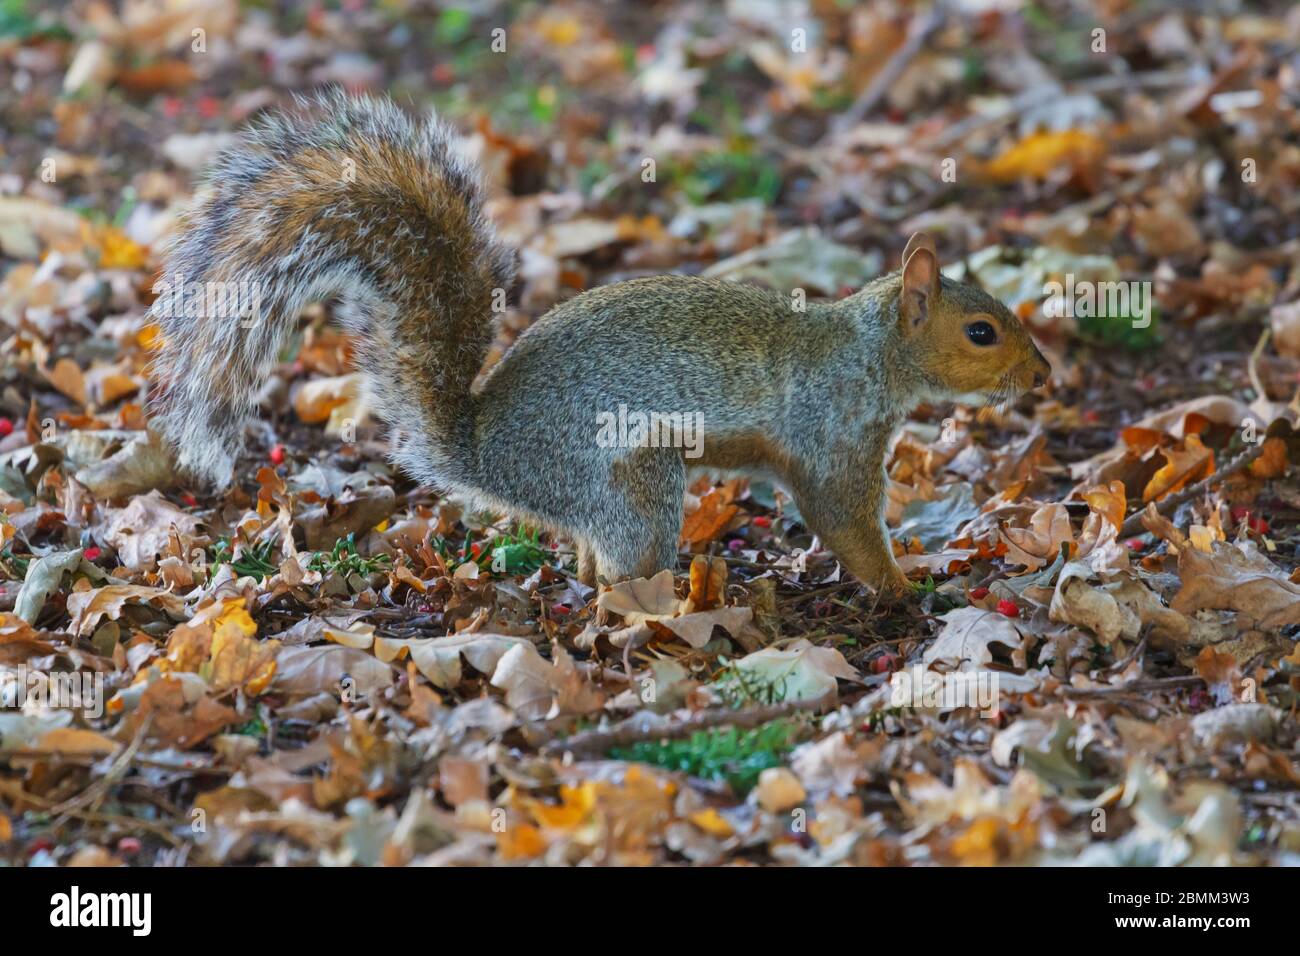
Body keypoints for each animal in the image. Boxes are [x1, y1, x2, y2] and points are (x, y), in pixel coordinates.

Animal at [148, 91, 1051, 594]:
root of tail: (482, 451)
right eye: (981, 332)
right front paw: (902, 590)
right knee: (622, 568)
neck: (870, 352)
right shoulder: (832, 437)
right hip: (627, 474)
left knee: (591, 558)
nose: (1042, 375)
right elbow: (844, 519)